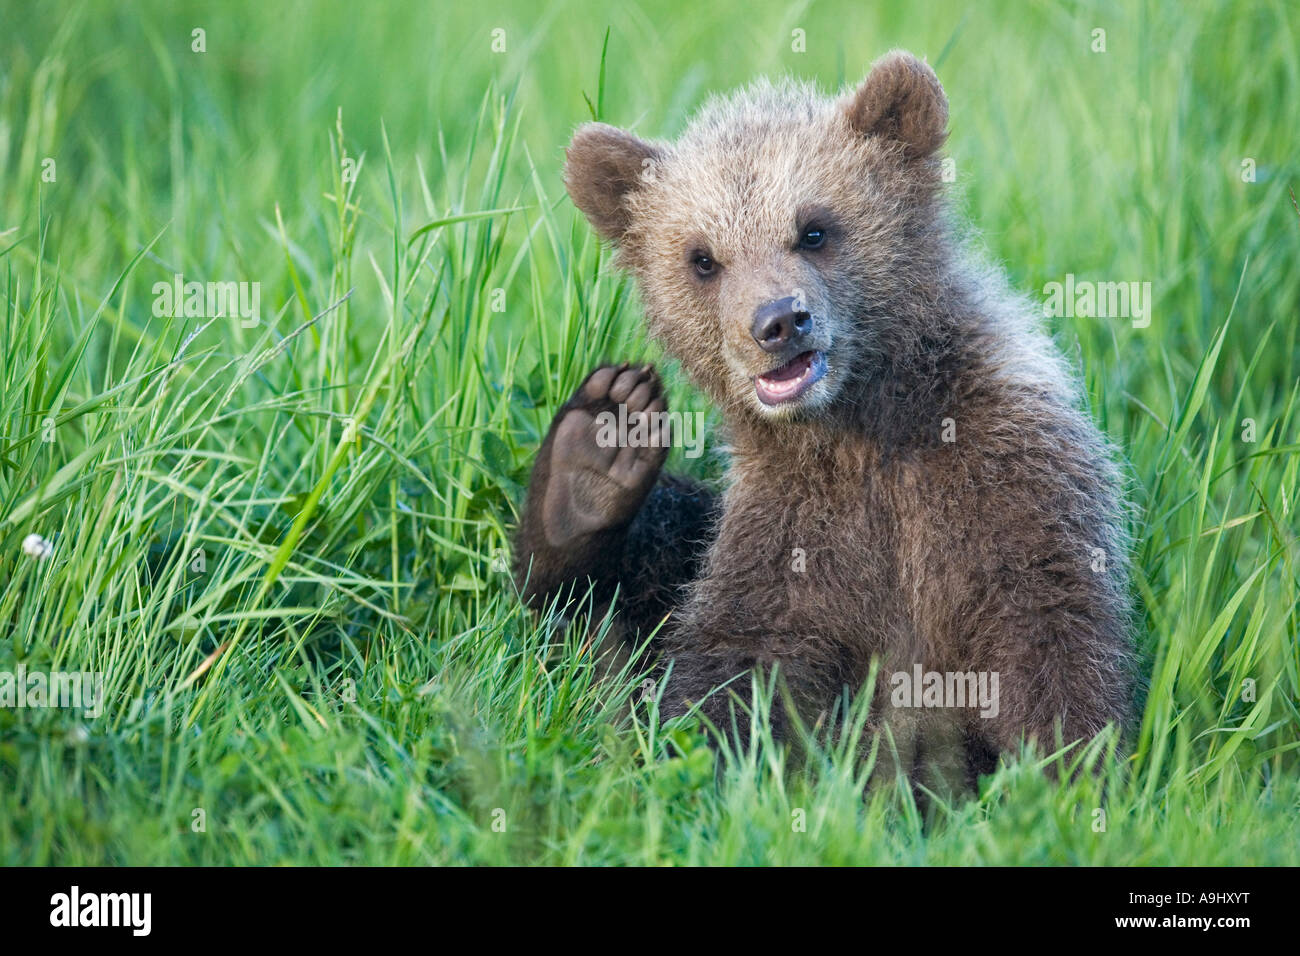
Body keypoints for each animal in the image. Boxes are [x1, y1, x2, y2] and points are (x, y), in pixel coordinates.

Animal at [513, 50, 1136, 790]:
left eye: (814, 229)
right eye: (703, 259)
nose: (778, 321)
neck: (861, 423)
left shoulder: (1002, 472)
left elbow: (1044, 631)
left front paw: (1062, 773)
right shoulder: (789, 524)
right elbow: (737, 662)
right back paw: (590, 460)